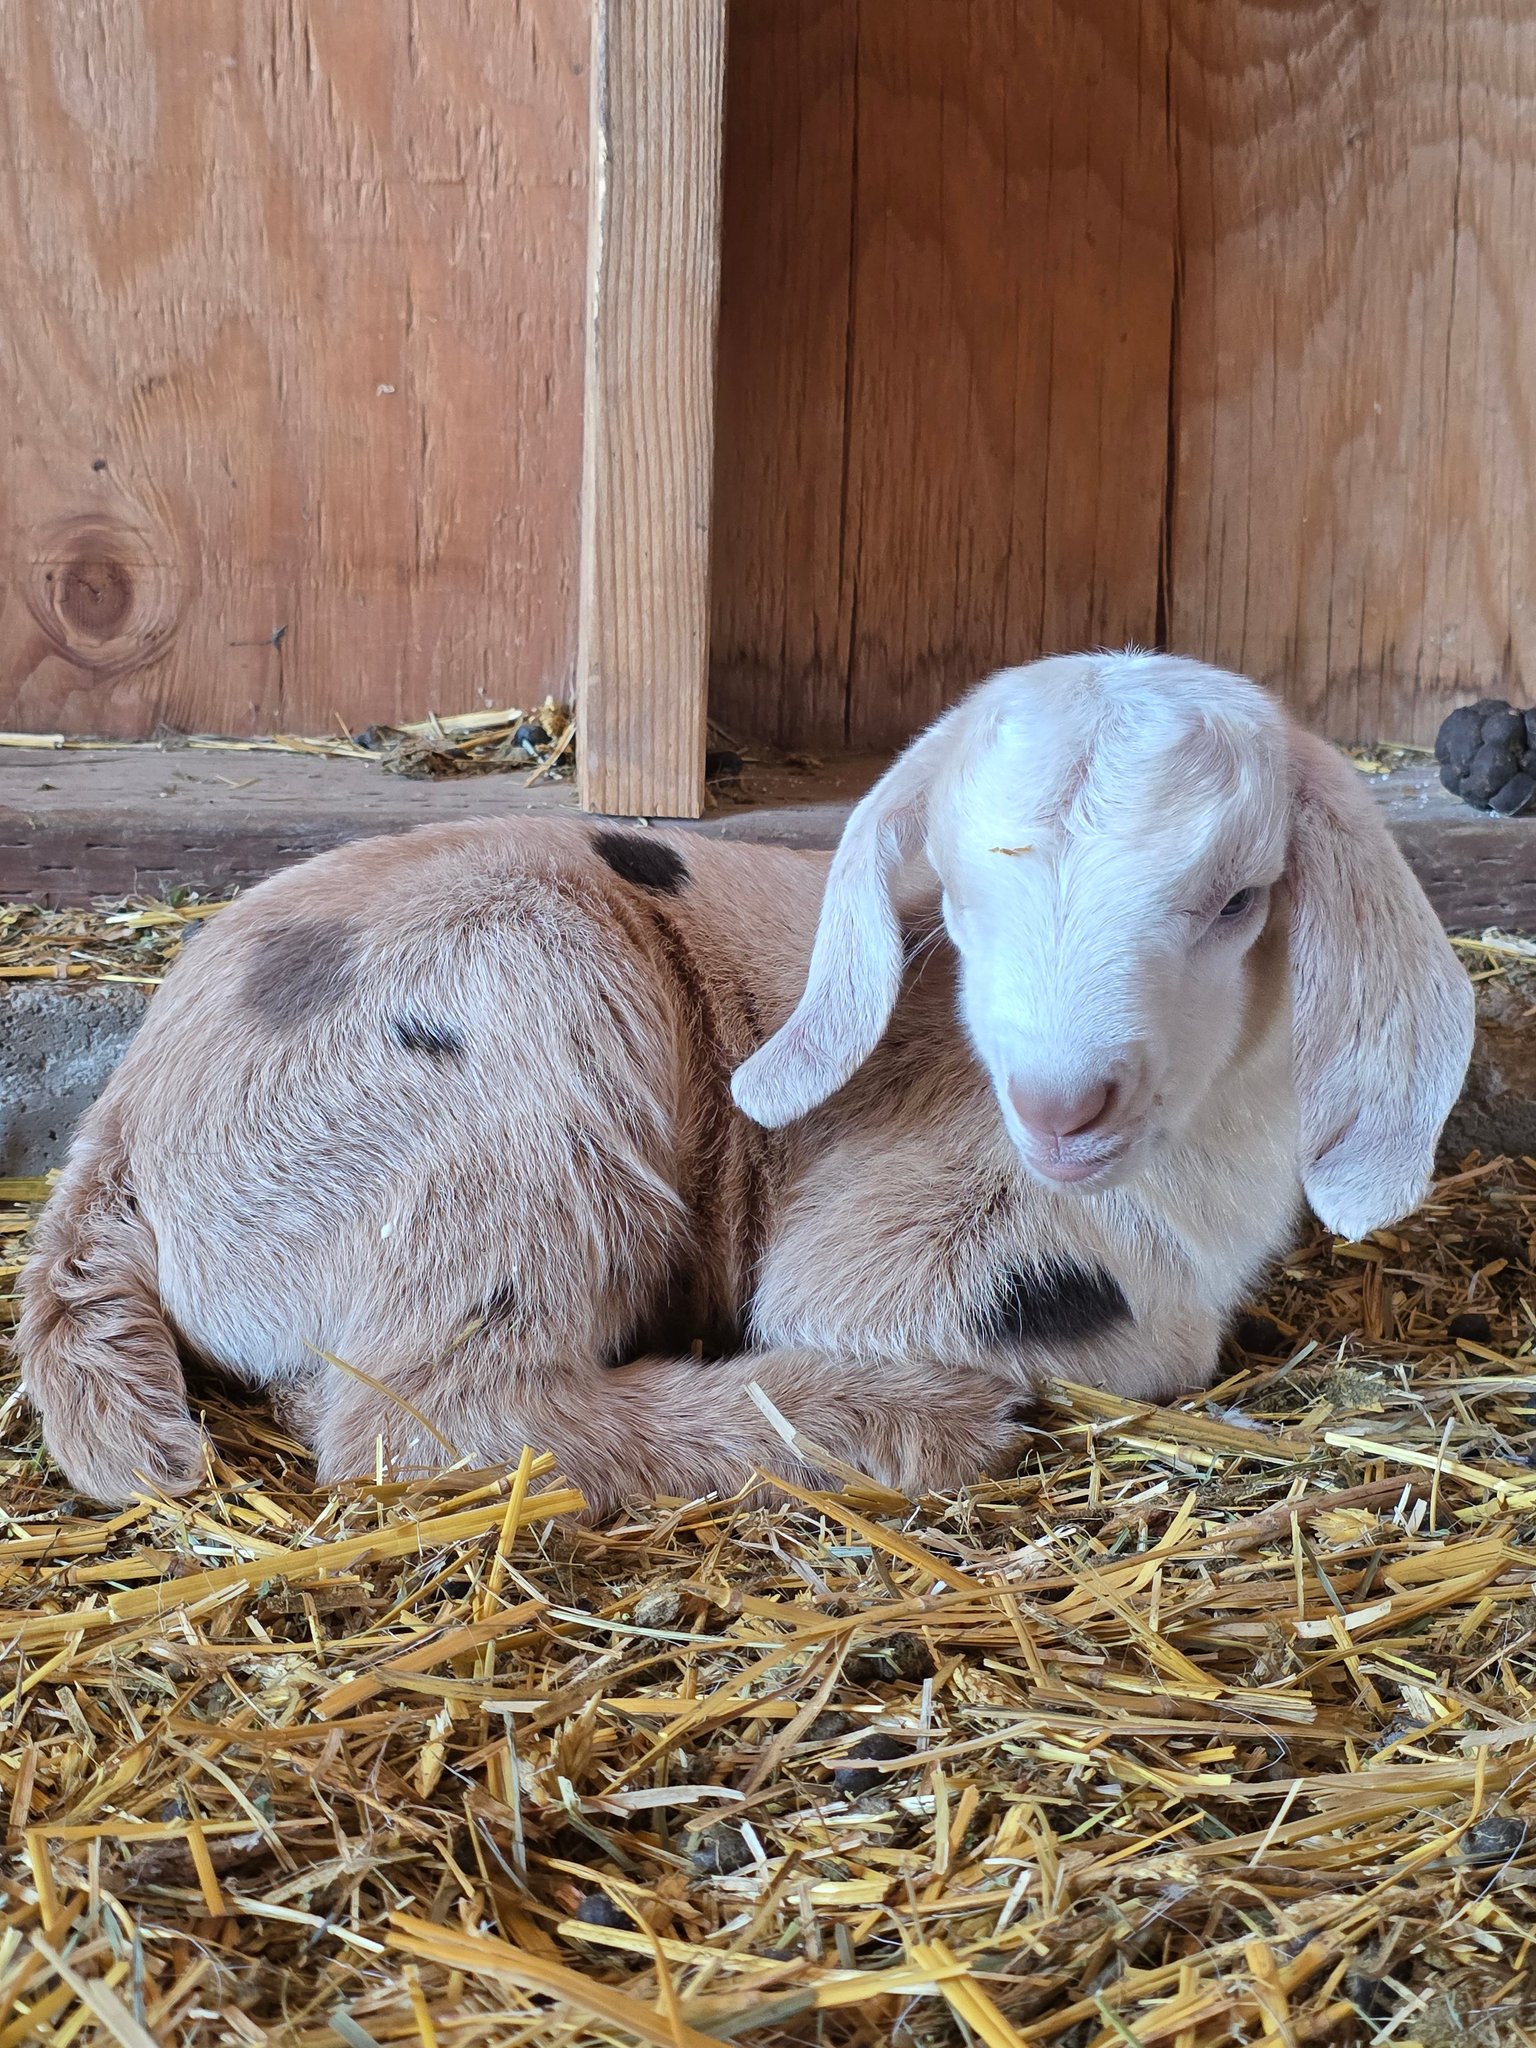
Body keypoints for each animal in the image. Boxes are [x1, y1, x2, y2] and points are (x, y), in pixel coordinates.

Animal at [17, 652, 1474, 1510]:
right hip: (515, 1078)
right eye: (964, 896)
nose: (1064, 1108)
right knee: (424, 1417)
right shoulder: (933, 1258)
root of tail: (121, 1139)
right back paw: (904, 1421)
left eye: (1238, 900)